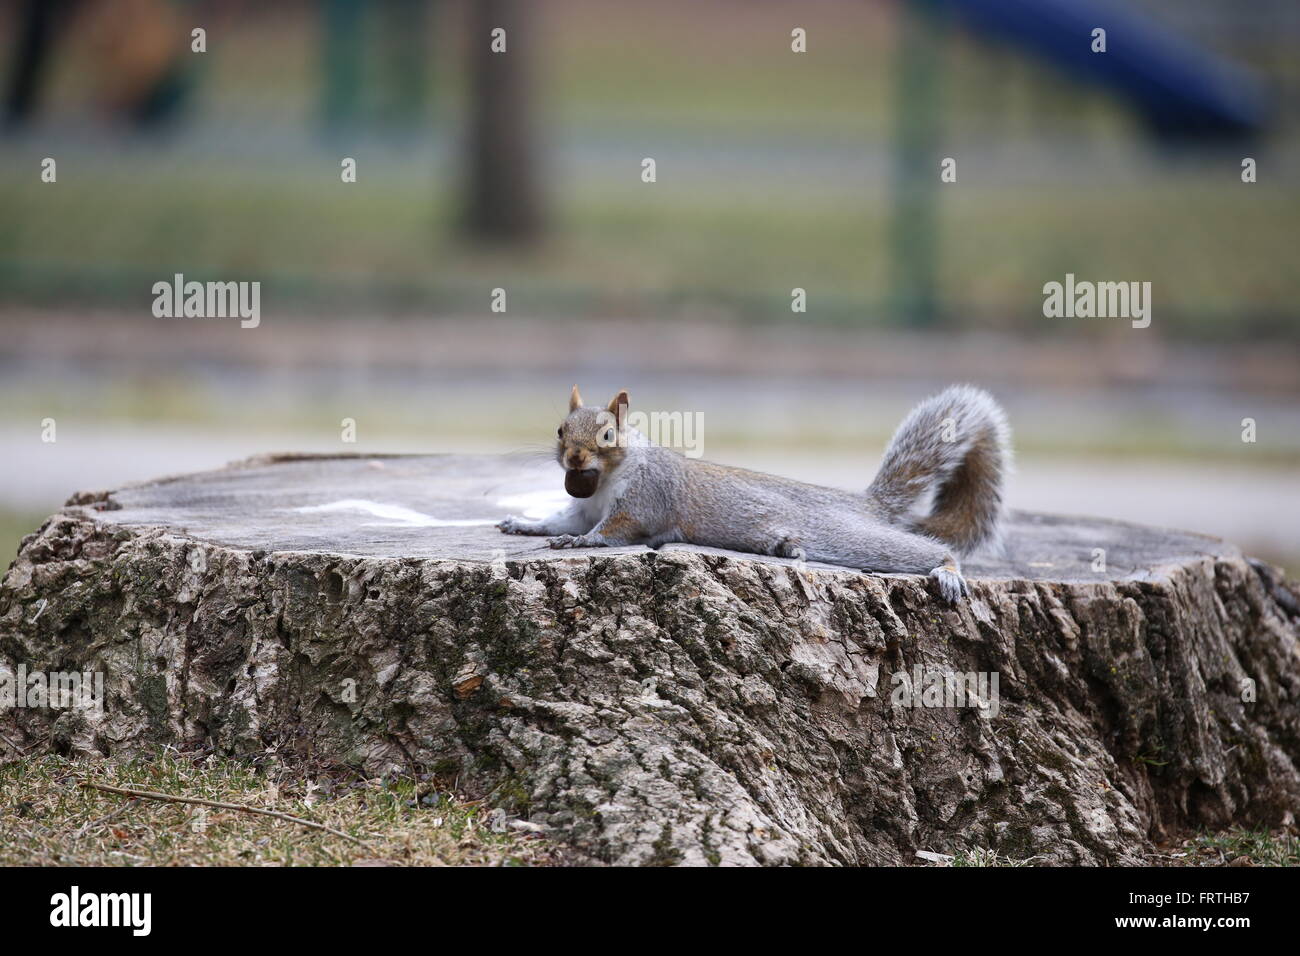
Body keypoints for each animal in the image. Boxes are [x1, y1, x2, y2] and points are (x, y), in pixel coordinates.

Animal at [498, 384, 1011, 603]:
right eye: (560, 430)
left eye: (607, 436)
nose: (573, 459)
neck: (603, 483)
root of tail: (861, 505)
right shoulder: (584, 507)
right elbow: (562, 519)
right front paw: (526, 523)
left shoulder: (646, 500)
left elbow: (615, 531)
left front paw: (577, 543)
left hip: (846, 536)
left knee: (920, 549)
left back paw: (946, 571)